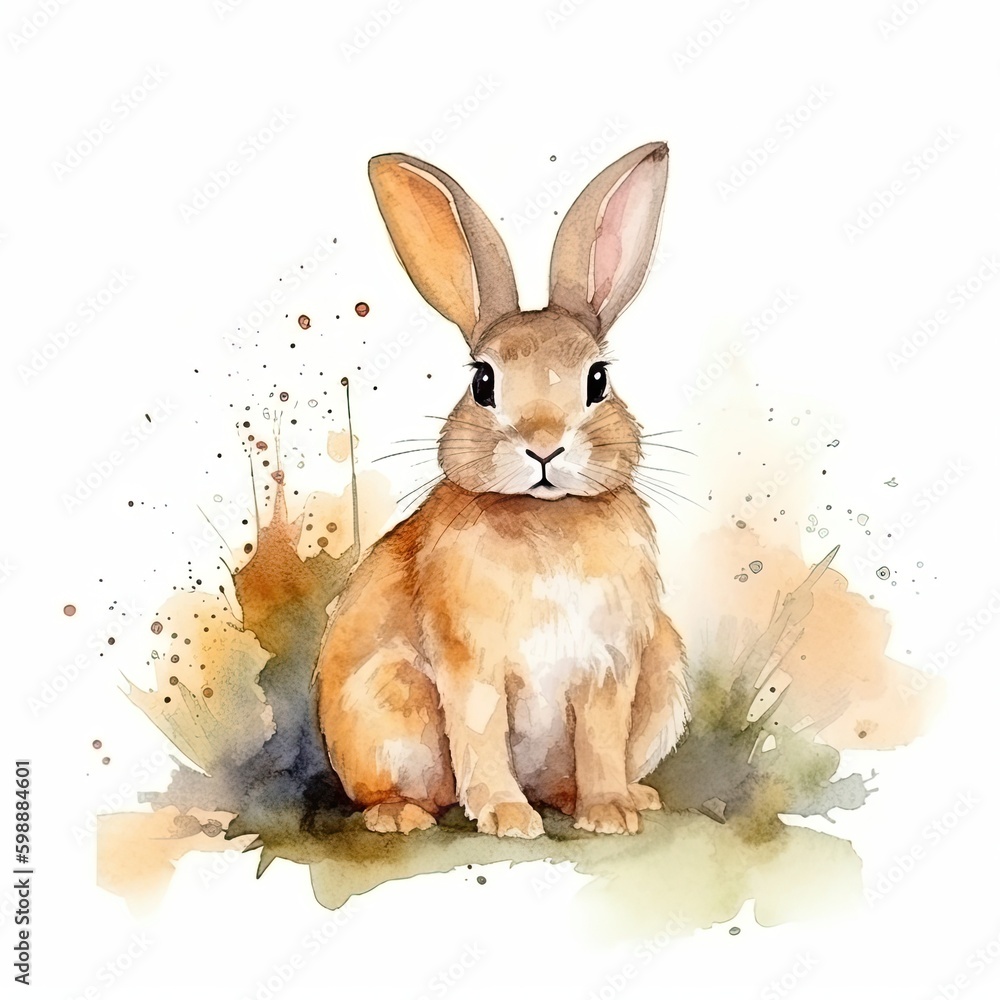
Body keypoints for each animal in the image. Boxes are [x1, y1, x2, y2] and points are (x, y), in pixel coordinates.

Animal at [314, 142, 689, 839]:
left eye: (598, 379)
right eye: (482, 382)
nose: (544, 446)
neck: (546, 517)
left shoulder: (609, 668)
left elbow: (601, 742)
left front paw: (610, 812)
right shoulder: (471, 663)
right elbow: (480, 736)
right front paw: (508, 817)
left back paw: (618, 797)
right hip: (385, 711)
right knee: (406, 788)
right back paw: (403, 815)